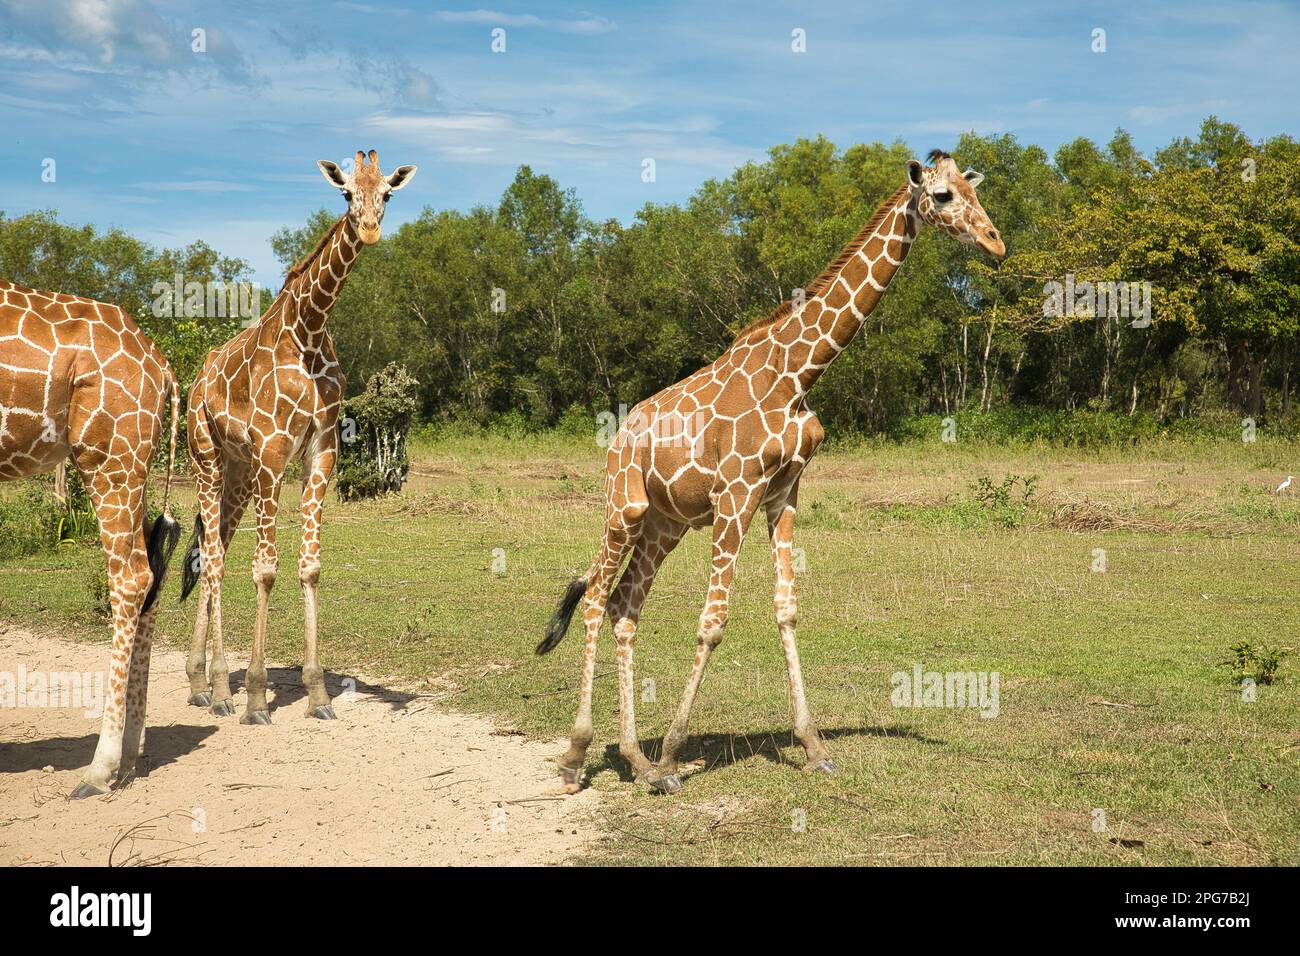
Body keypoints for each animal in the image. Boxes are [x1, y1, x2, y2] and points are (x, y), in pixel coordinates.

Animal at [0, 281, 180, 798]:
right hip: (134, 463)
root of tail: (162, 367)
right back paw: (131, 754)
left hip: (108, 455)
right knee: (152, 571)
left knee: (131, 576)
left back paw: (99, 770)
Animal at [179, 149, 416, 725]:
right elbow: (265, 570)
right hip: (206, 456)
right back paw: (222, 689)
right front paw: (257, 696)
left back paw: (201, 682)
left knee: (213, 549)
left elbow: (309, 567)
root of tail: (197, 379)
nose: (369, 228)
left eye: (387, 193)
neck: (309, 329)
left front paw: (317, 694)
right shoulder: (274, 449)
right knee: (213, 559)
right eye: (347, 193)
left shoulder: (319, 451)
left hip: (239, 472)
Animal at [539, 150, 1006, 794]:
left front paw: (812, 746)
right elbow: (713, 622)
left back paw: (634, 758)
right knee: (592, 598)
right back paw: (578, 754)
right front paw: (674, 754)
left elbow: (786, 609)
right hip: (623, 507)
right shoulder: (737, 492)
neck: (797, 372)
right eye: (941, 196)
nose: (996, 243)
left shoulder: (783, 492)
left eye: (973, 190)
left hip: (665, 523)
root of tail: (622, 431)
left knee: (623, 606)